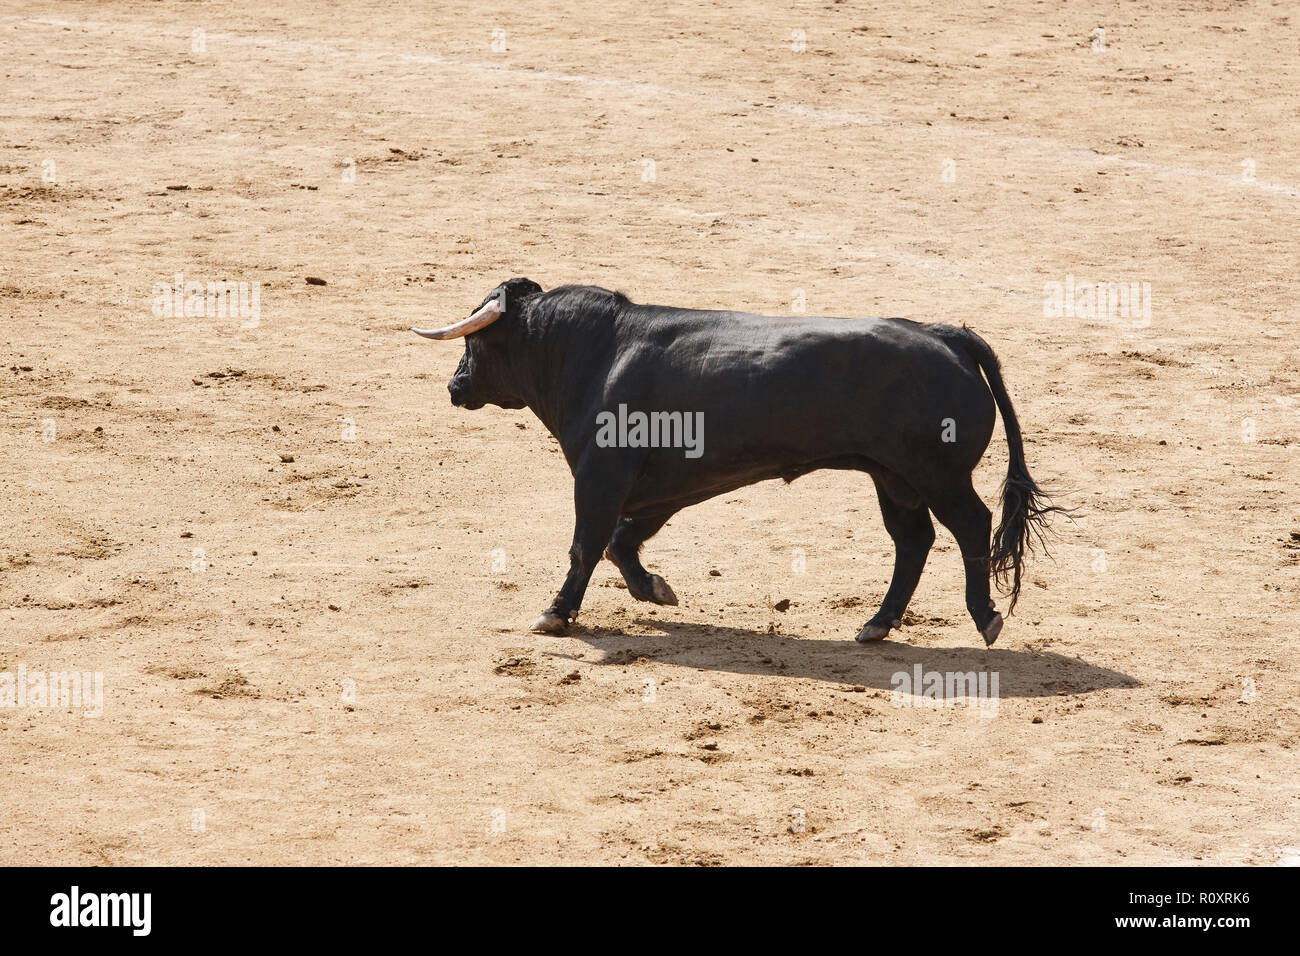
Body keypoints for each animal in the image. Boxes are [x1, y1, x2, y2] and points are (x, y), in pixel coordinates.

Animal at [413, 278, 1060, 646]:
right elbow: (623, 540)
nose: (454, 386)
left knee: (969, 525)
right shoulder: (663, 486)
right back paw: (876, 625)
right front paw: (655, 590)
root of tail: (948, 335)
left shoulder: (599, 478)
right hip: (892, 476)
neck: (592, 351)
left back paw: (984, 617)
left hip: (938, 474)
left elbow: (586, 544)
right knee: (913, 539)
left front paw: (555, 613)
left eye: (475, 340)